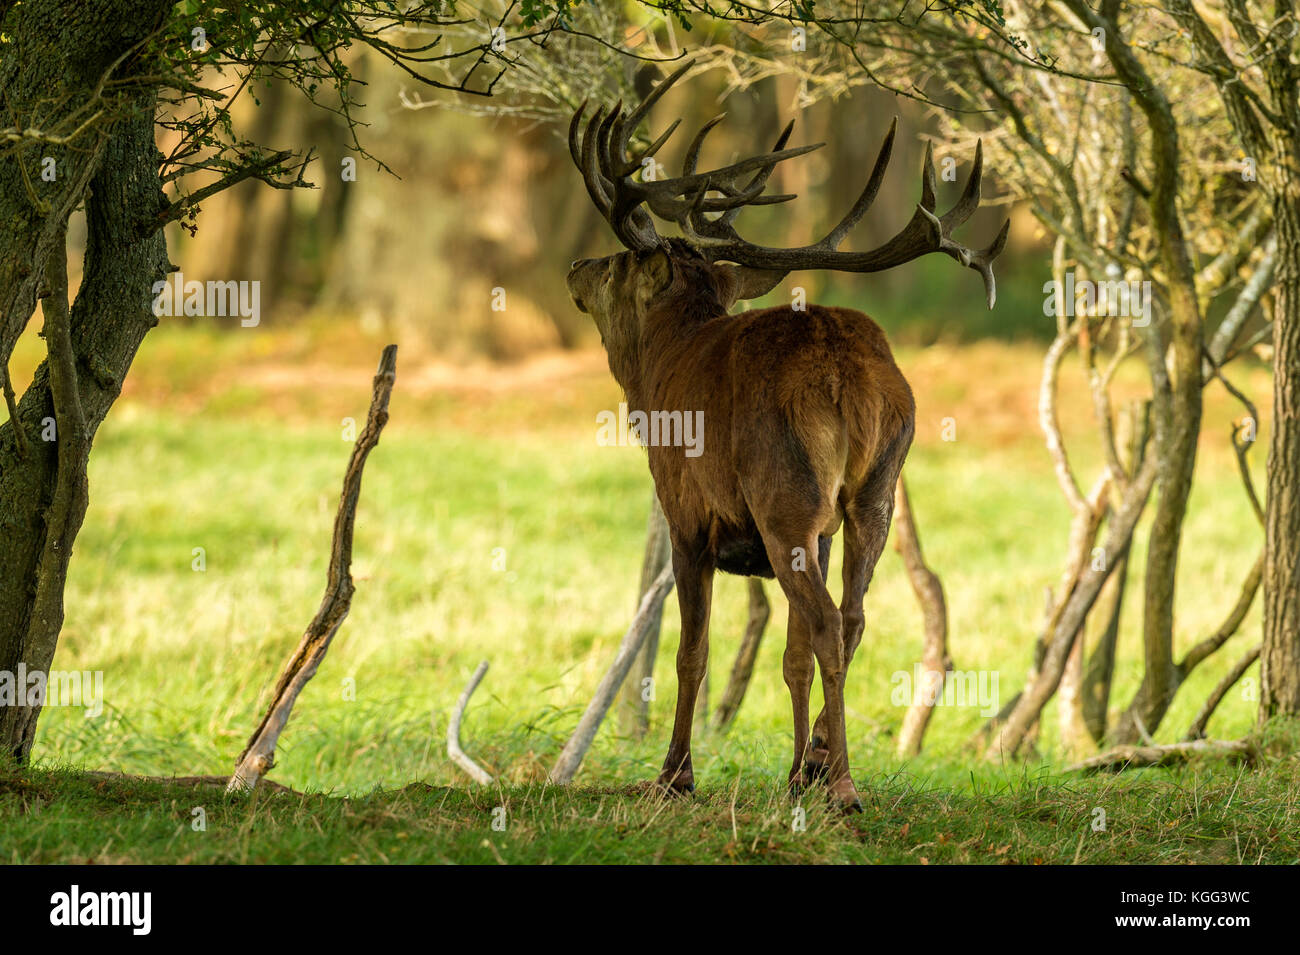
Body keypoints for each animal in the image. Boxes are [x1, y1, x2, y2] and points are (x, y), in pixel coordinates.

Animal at [565, 62, 1007, 811]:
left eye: (620, 263)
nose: (574, 270)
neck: (656, 375)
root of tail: (847, 373)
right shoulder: (816, 531)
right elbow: (792, 655)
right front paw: (797, 765)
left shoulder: (686, 514)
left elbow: (692, 652)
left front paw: (674, 774)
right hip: (872, 494)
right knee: (850, 617)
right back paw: (824, 766)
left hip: (784, 495)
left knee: (827, 620)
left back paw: (844, 785)